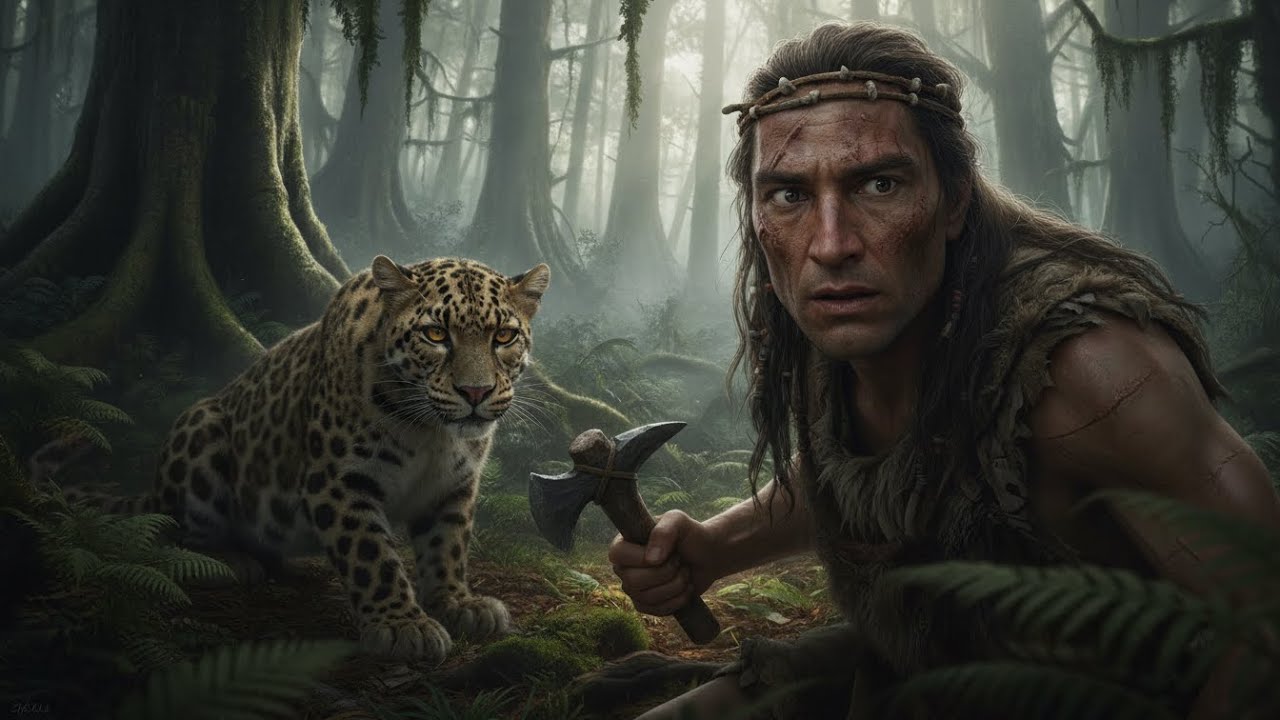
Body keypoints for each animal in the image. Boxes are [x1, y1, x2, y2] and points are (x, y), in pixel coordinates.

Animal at [64, 255, 550, 664]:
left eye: (504, 336)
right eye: (435, 335)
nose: (475, 392)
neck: (431, 434)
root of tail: (155, 489)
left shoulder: (453, 485)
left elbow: (447, 546)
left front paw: (456, 602)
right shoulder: (339, 481)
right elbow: (371, 556)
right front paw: (401, 625)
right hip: (201, 428)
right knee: (179, 535)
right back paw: (229, 561)